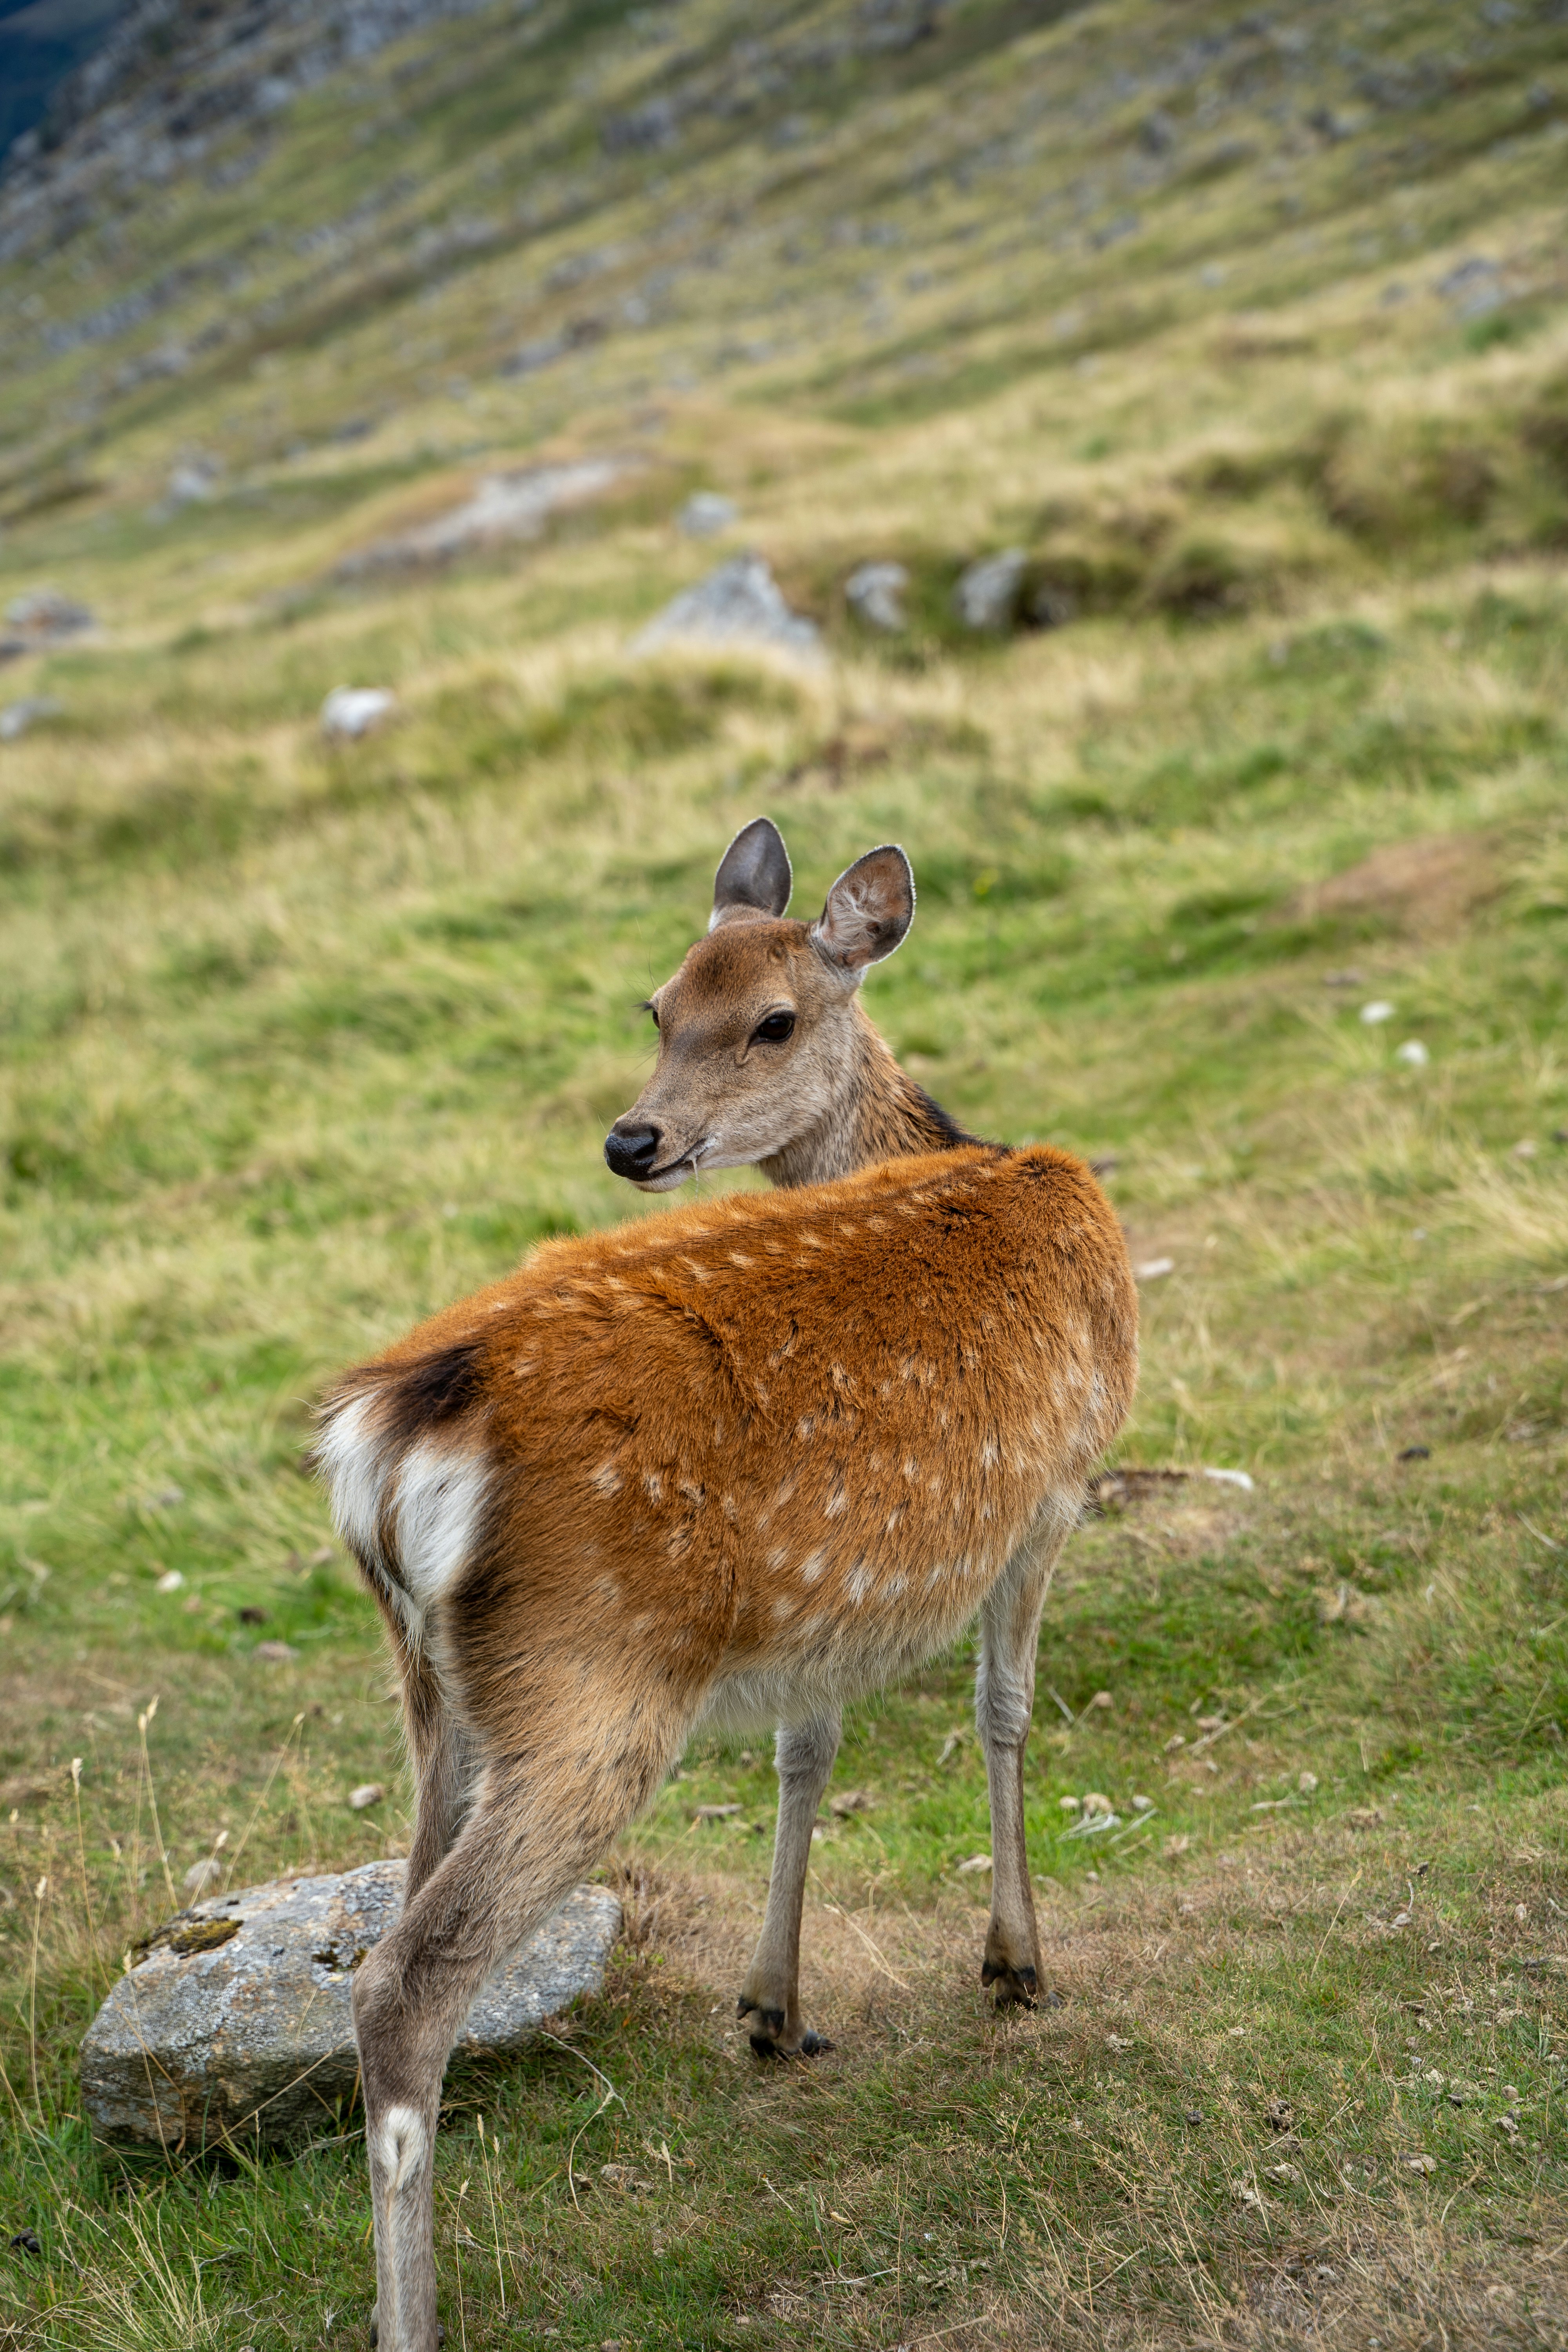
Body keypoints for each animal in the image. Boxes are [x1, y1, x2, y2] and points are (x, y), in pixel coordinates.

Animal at [314, 819, 1137, 2352]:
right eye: (657, 1009)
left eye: (768, 1017)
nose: (632, 1138)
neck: (973, 1151)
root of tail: (387, 1438)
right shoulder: (1058, 1482)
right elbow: (1004, 1710)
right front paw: (1016, 1964)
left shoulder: (824, 1596)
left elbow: (808, 1754)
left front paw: (773, 2006)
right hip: (596, 1683)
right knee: (409, 1976)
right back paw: (414, 2318)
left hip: (441, 1694)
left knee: (386, 1918)